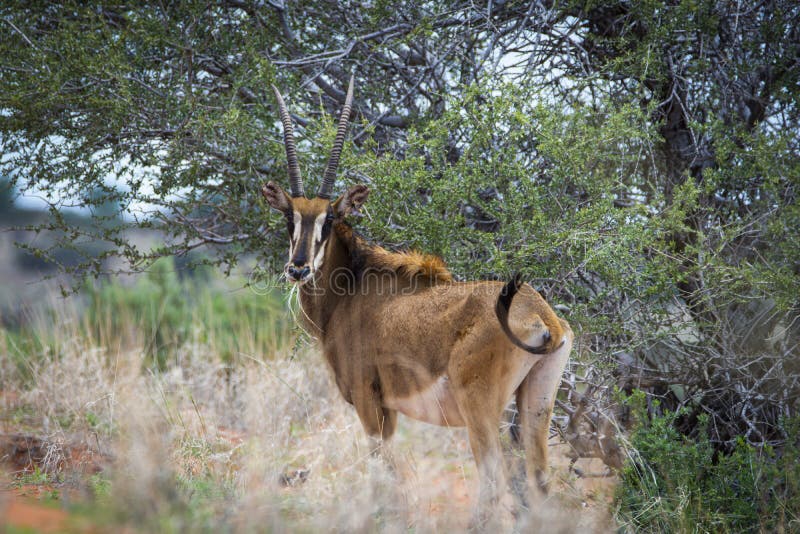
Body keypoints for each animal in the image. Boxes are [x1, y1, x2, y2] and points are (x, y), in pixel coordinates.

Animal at [262, 77, 573, 524]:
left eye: (330, 218)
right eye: (290, 217)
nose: (298, 268)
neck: (352, 287)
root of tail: (544, 318)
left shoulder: (371, 404)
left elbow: (384, 477)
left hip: (479, 409)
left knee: (493, 480)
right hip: (536, 405)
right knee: (539, 481)